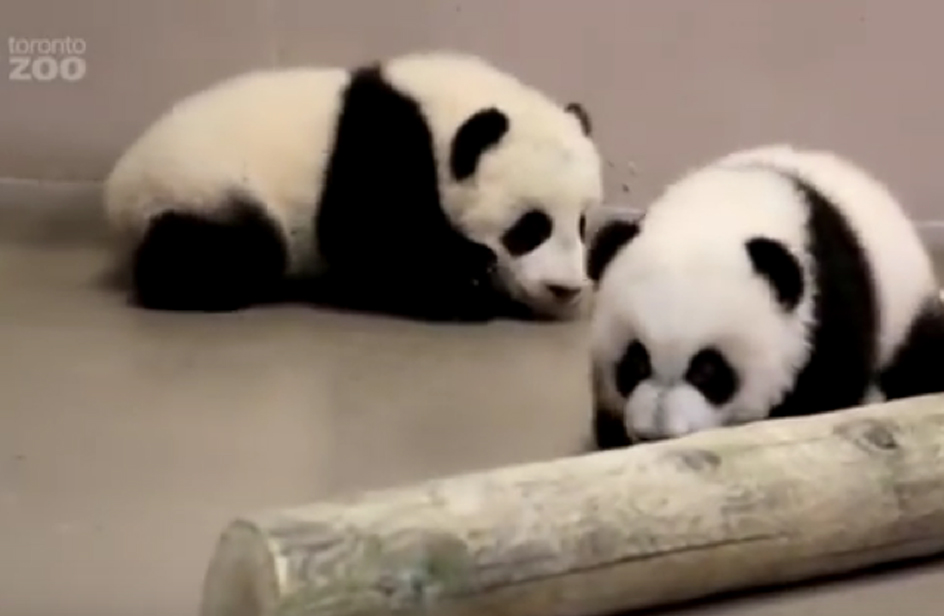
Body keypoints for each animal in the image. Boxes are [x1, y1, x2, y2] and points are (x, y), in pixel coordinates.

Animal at [103, 50, 603, 322]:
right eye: (528, 228)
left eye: (581, 224)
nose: (565, 289)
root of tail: (119, 183)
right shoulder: (381, 148)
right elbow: (369, 233)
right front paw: (468, 275)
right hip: (200, 185)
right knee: (229, 250)